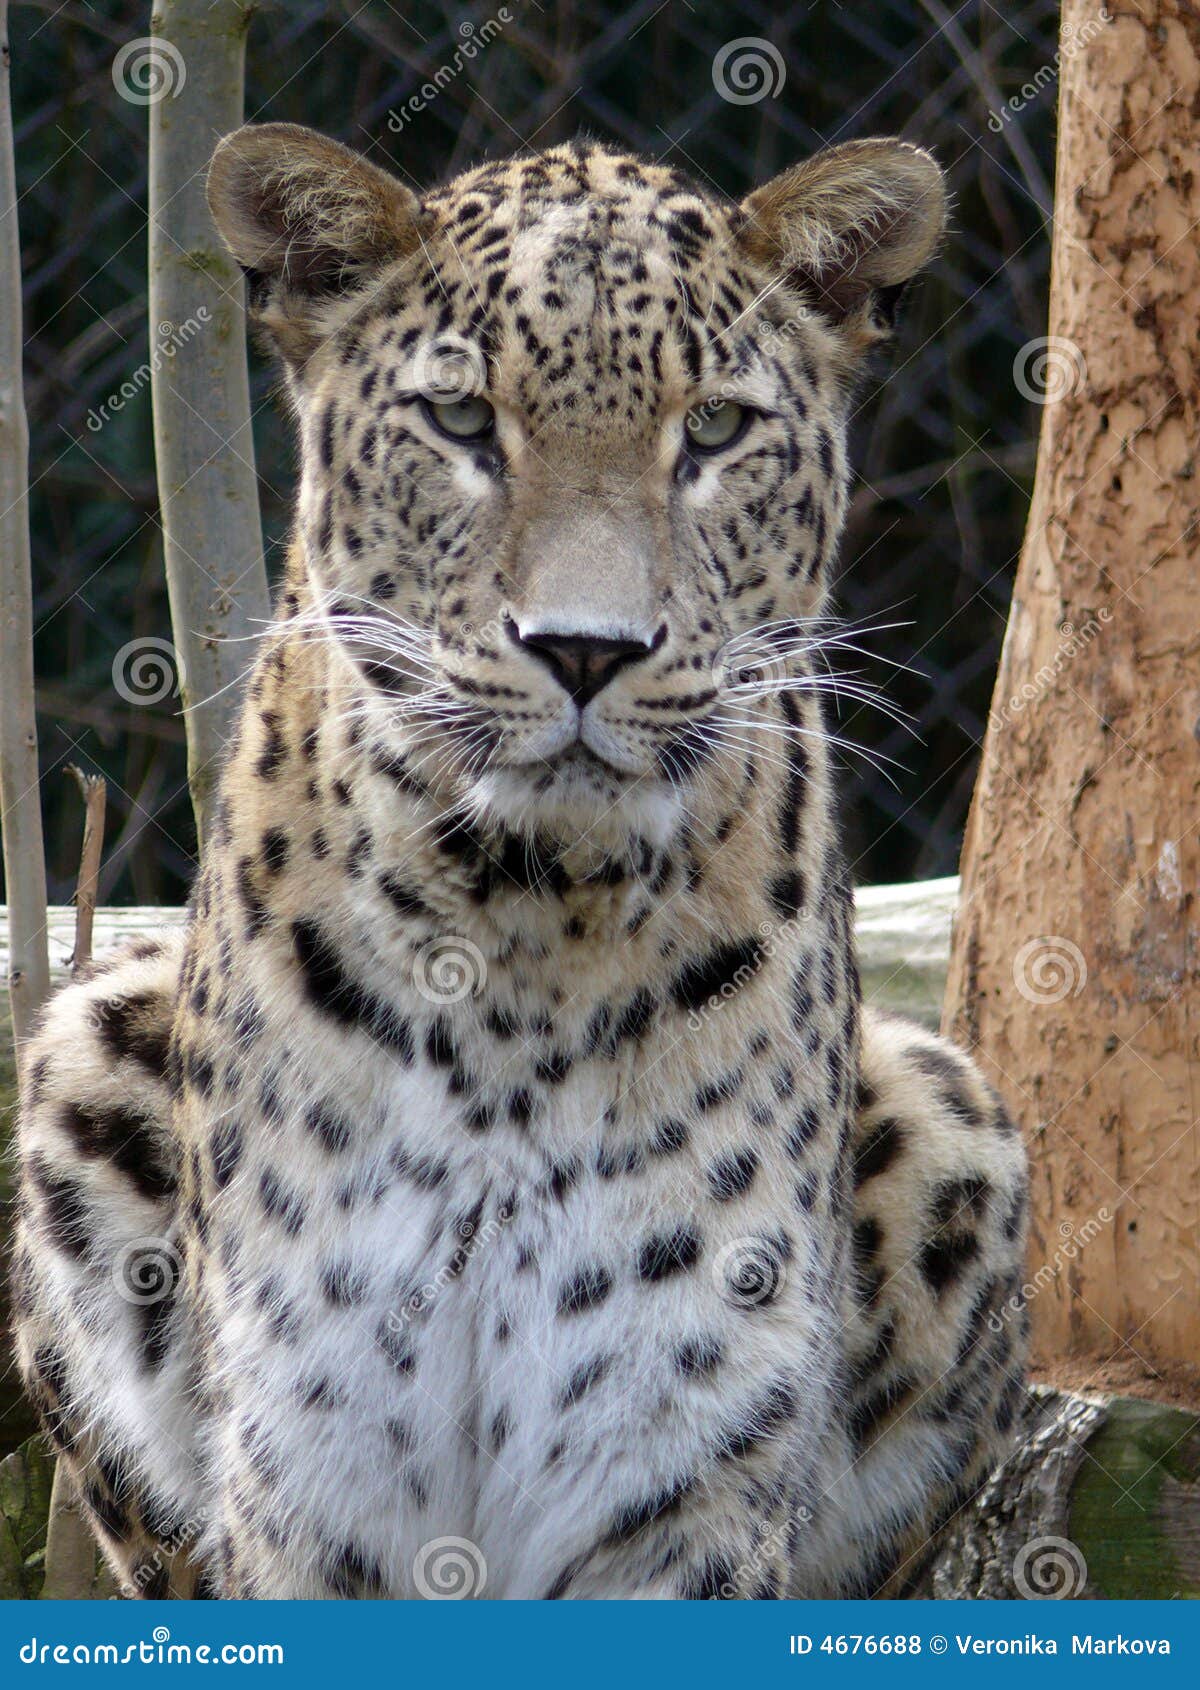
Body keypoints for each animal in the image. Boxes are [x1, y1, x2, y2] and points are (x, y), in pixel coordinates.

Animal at [10, 123, 1029, 1600]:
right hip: (83, 1042)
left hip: (956, 1110)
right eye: (459, 421)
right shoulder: (318, 1475)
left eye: (713, 430)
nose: (586, 649)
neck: (529, 926)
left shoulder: (682, 1476)